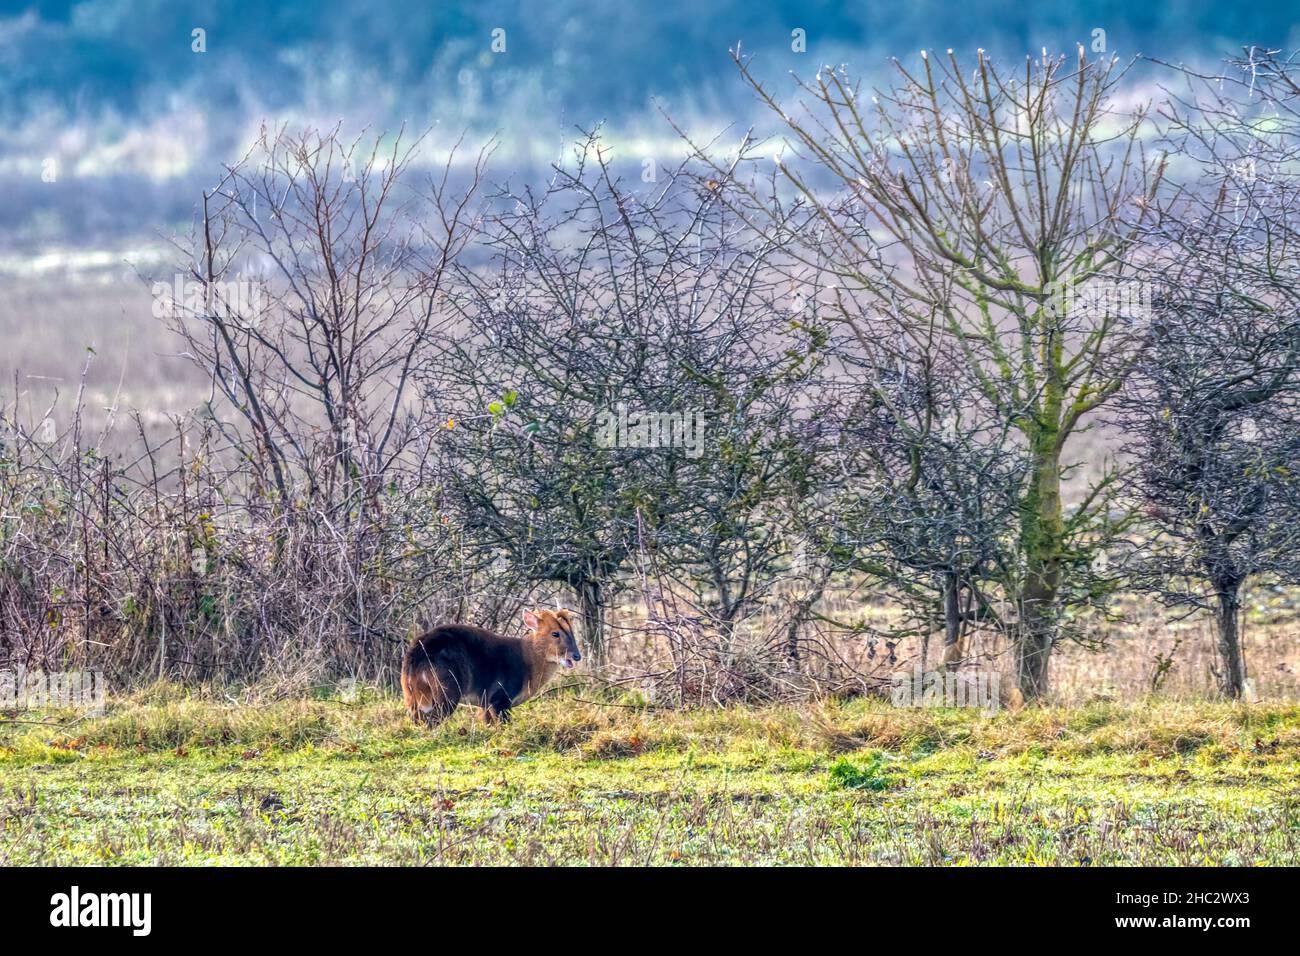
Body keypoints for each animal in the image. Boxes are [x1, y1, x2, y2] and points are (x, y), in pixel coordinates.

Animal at [395, 613, 579, 723]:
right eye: (555, 633)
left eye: (572, 633)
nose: (577, 656)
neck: (529, 664)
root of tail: (415, 655)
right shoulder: (499, 697)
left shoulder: (485, 702)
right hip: (447, 687)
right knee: (432, 720)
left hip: (412, 695)